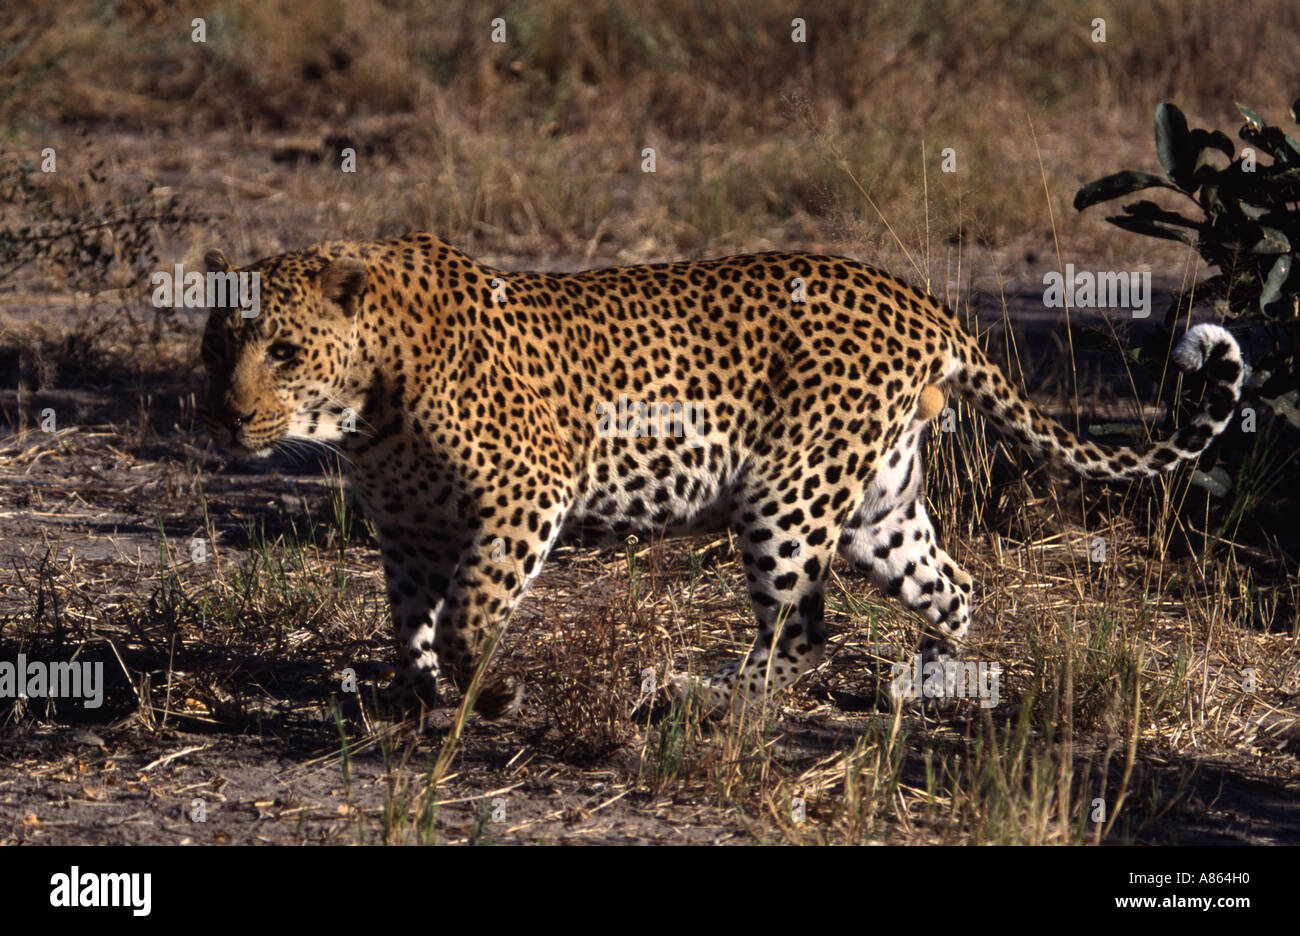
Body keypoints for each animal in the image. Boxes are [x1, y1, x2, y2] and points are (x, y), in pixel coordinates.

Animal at [199, 232, 1244, 718]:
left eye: (284, 353)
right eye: (218, 348)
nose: (229, 416)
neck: (365, 413)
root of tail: (924, 306)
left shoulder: (524, 500)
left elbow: (465, 618)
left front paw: (487, 695)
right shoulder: (410, 530)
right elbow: (408, 622)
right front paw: (420, 697)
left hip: (786, 496)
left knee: (801, 630)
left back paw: (701, 698)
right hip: (875, 507)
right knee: (954, 585)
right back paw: (927, 684)